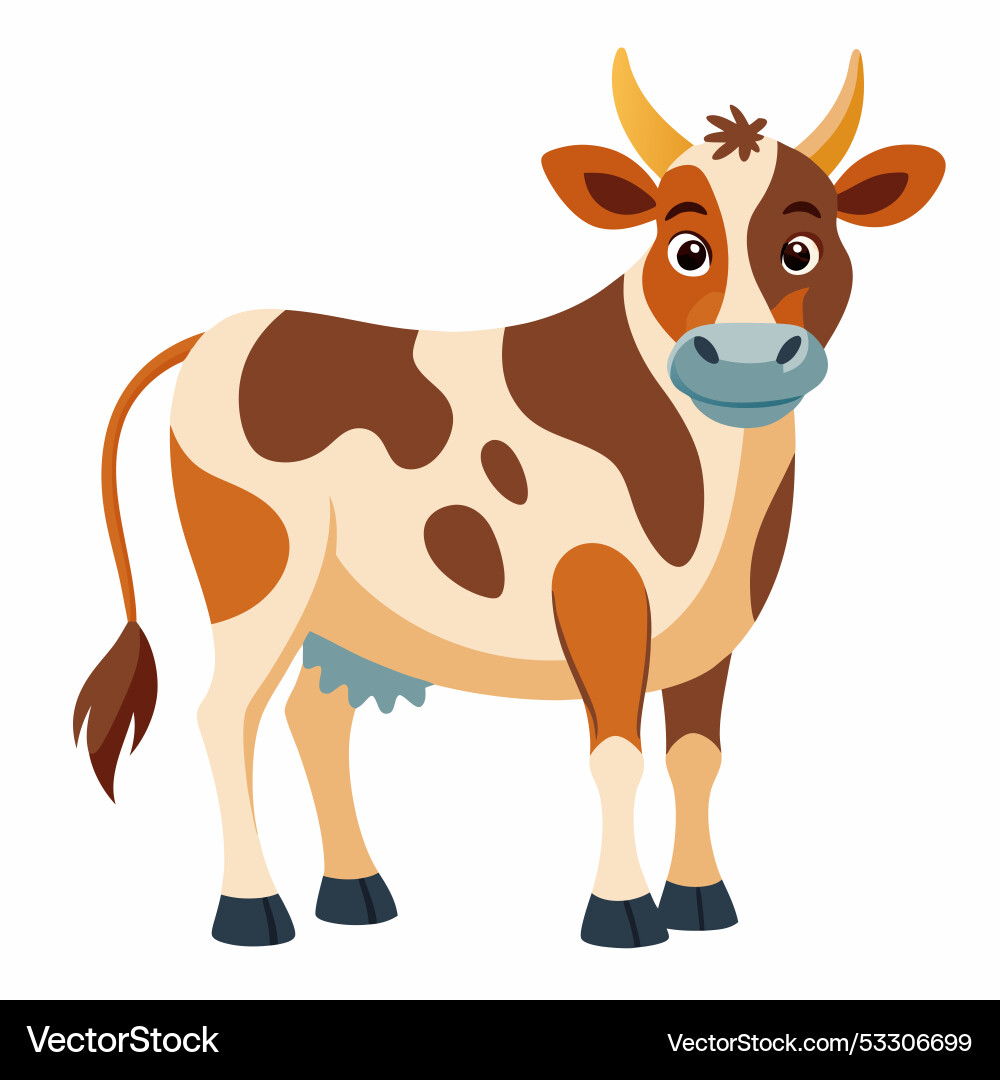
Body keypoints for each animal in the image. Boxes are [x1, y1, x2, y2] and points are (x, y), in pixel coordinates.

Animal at [74, 49, 944, 949]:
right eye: (687, 247)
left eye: (803, 248)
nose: (743, 359)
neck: (712, 490)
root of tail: (222, 332)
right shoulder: (599, 595)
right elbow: (618, 753)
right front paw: (621, 911)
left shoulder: (713, 628)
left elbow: (696, 757)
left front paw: (701, 900)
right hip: (256, 576)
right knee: (225, 716)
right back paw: (252, 909)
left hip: (340, 605)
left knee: (316, 717)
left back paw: (356, 891)